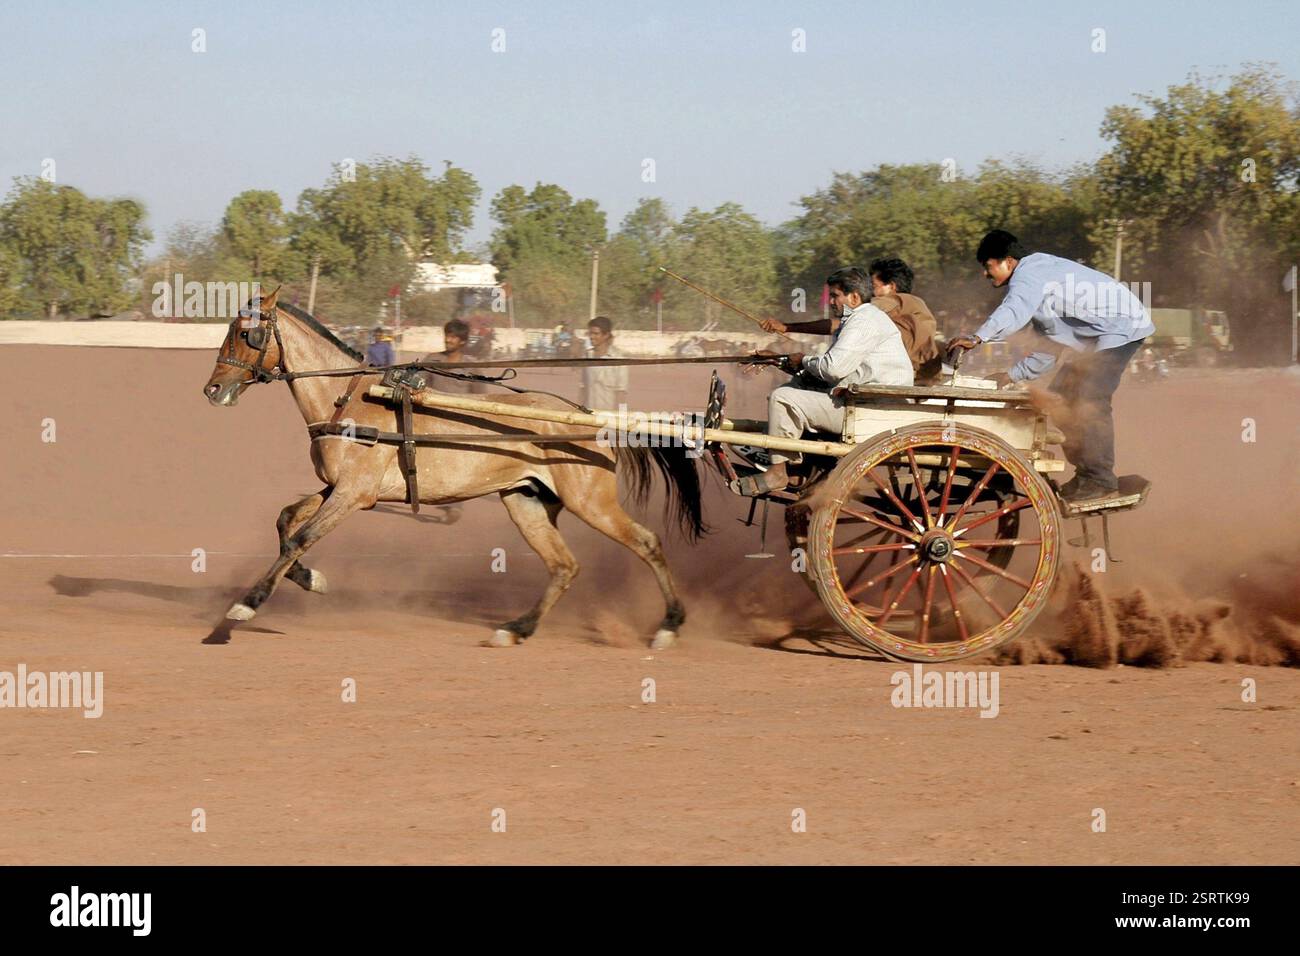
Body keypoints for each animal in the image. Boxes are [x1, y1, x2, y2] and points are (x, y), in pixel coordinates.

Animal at [200, 288, 705, 648]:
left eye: (246, 333)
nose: (213, 389)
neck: (349, 400)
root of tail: (592, 418)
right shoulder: (342, 489)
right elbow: (286, 520)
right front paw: (310, 578)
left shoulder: (353, 494)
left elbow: (300, 537)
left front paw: (246, 606)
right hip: (526, 500)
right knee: (563, 566)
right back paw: (517, 628)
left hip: (590, 500)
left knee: (647, 543)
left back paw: (670, 624)